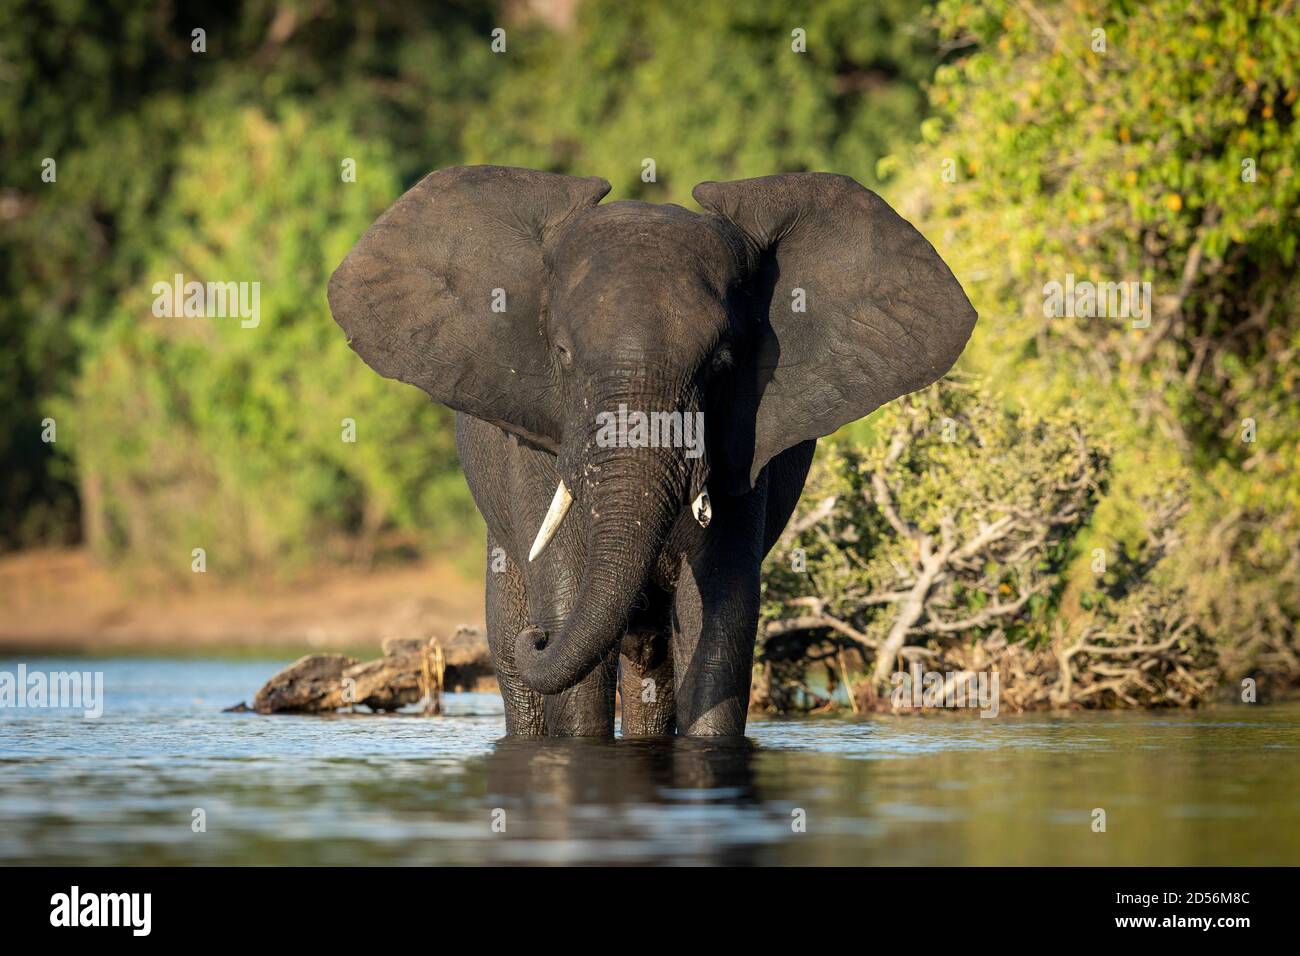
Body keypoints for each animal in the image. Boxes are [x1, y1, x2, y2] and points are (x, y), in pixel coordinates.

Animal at [328, 165, 976, 737]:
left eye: (721, 361)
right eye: (561, 353)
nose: (537, 640)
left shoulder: (743, 441)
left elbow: (719, 612)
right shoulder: (539, 442)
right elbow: (568, 602)